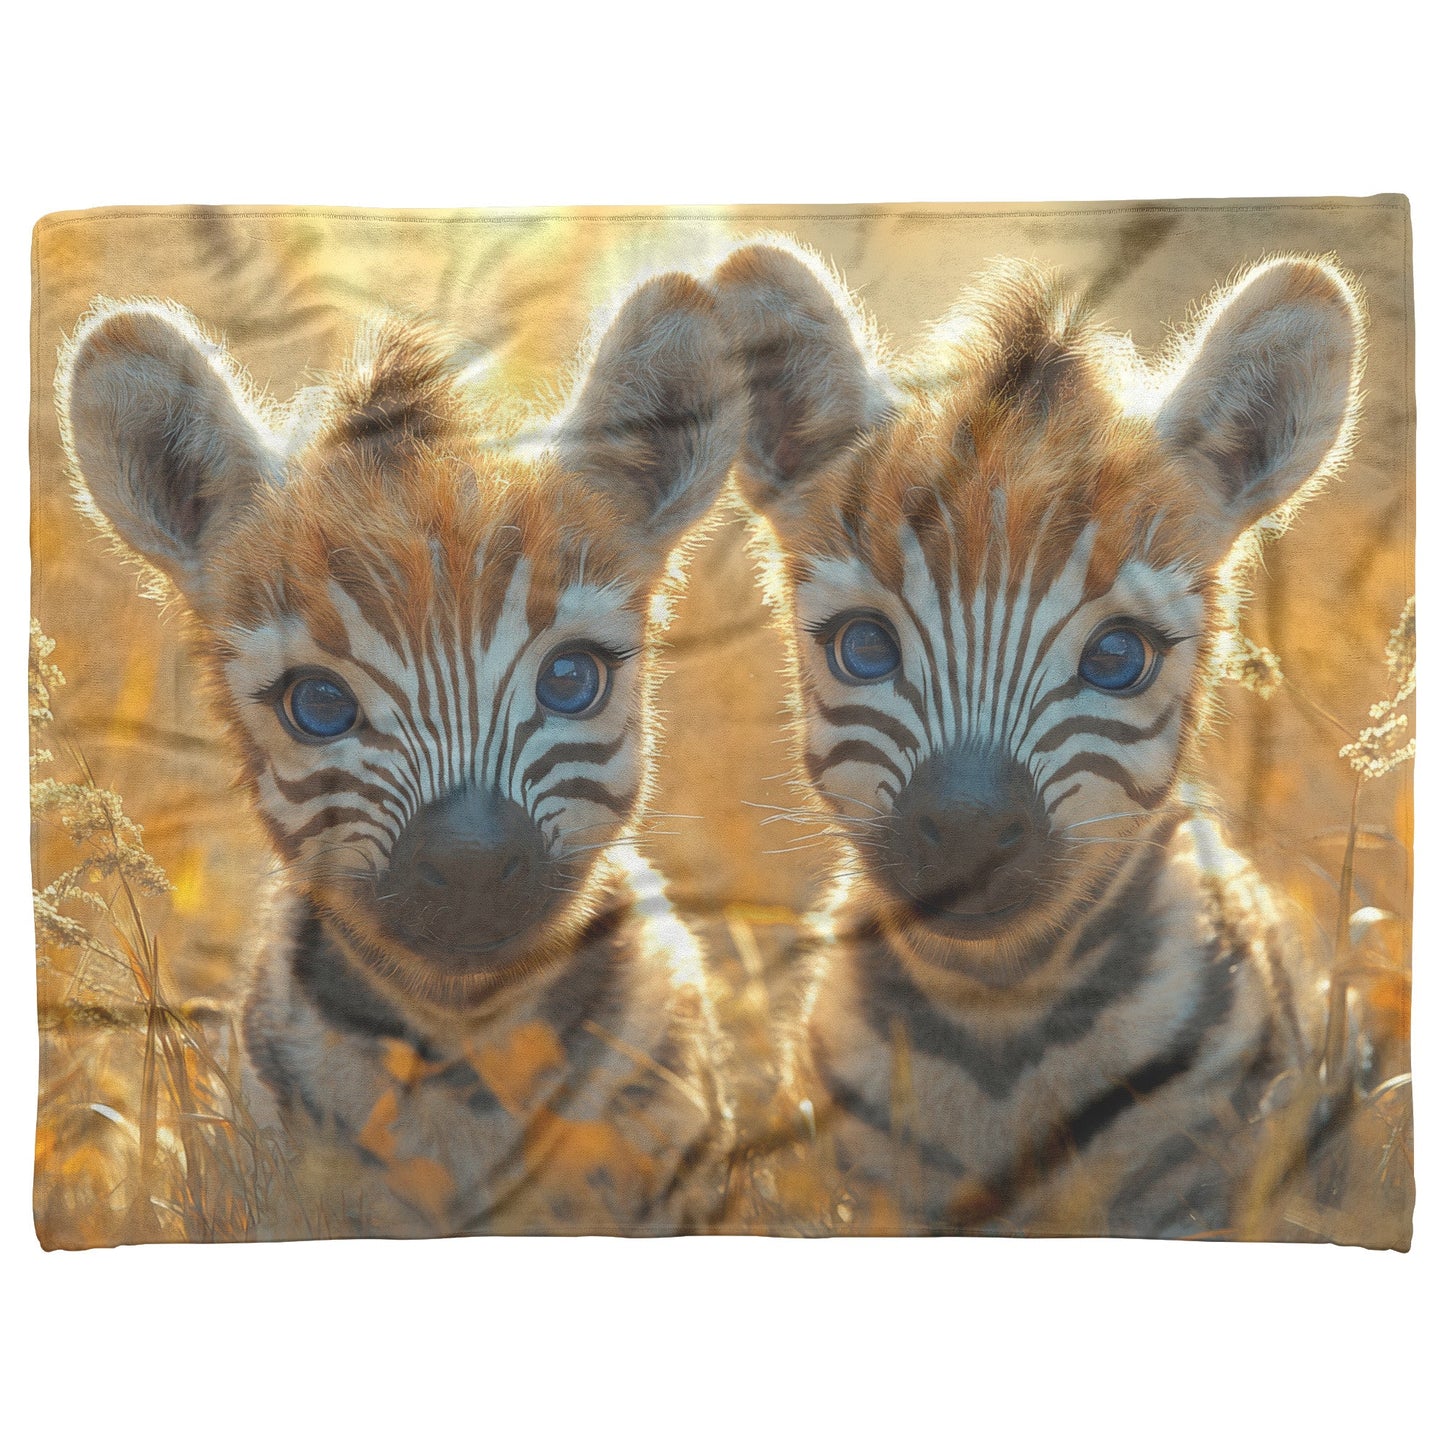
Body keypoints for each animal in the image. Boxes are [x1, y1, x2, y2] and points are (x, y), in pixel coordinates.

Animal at [713, 239, 1364, 1237]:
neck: (996, 1014)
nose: (968, 836)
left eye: (1118, 657)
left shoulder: (1201, 1199)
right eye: (863, 646)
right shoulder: (844, 1198)